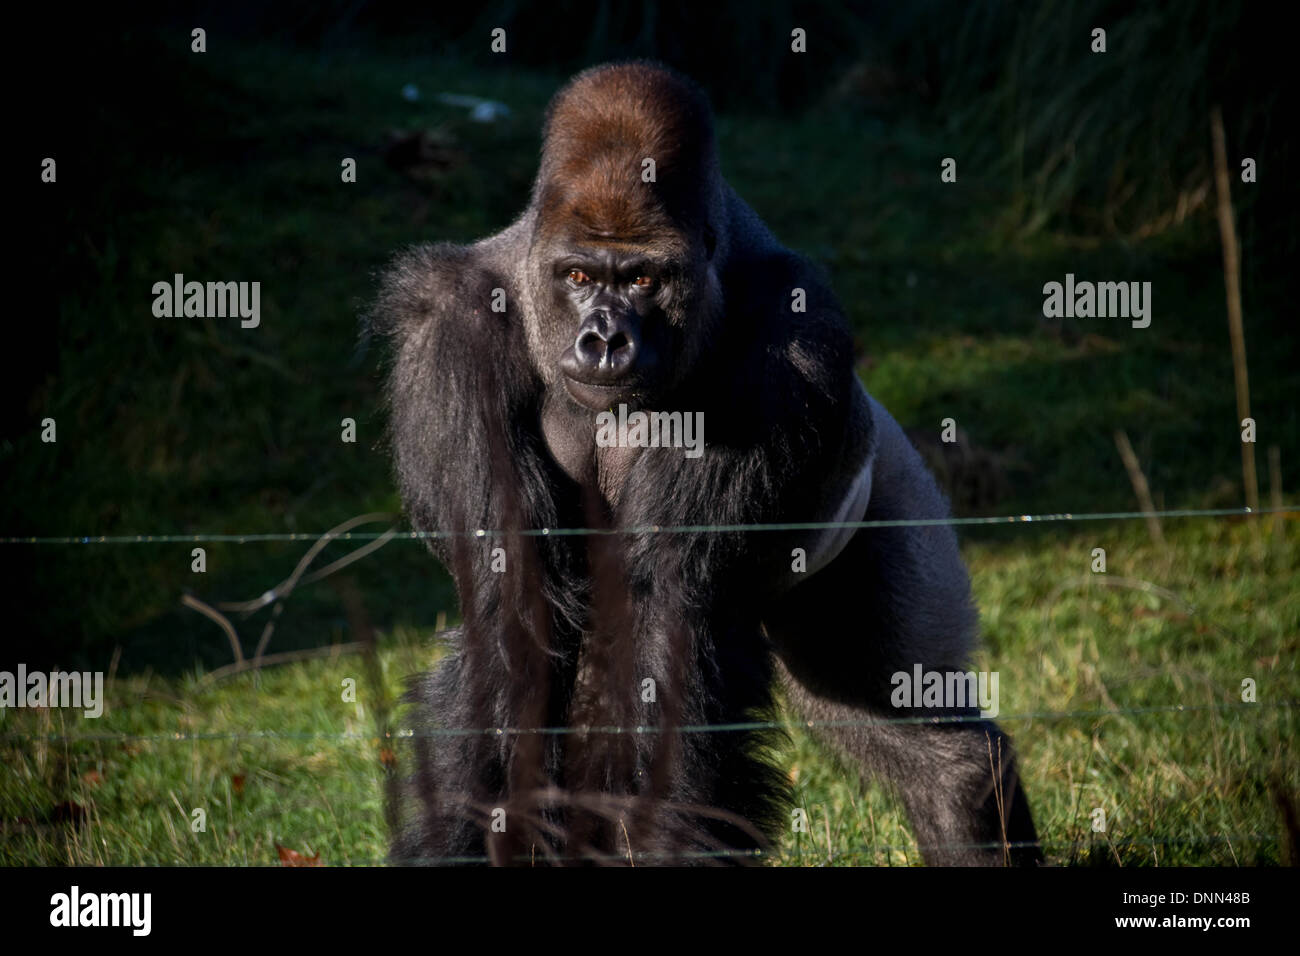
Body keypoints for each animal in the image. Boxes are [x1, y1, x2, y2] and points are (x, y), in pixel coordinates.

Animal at [372, 61, 1041, 866]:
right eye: (576, 276)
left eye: (642, 280)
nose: (605, 341)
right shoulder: (449, 329)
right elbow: (511, 601)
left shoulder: (786, 333)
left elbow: (669, 614)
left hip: (886, 495)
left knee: (906, 712)